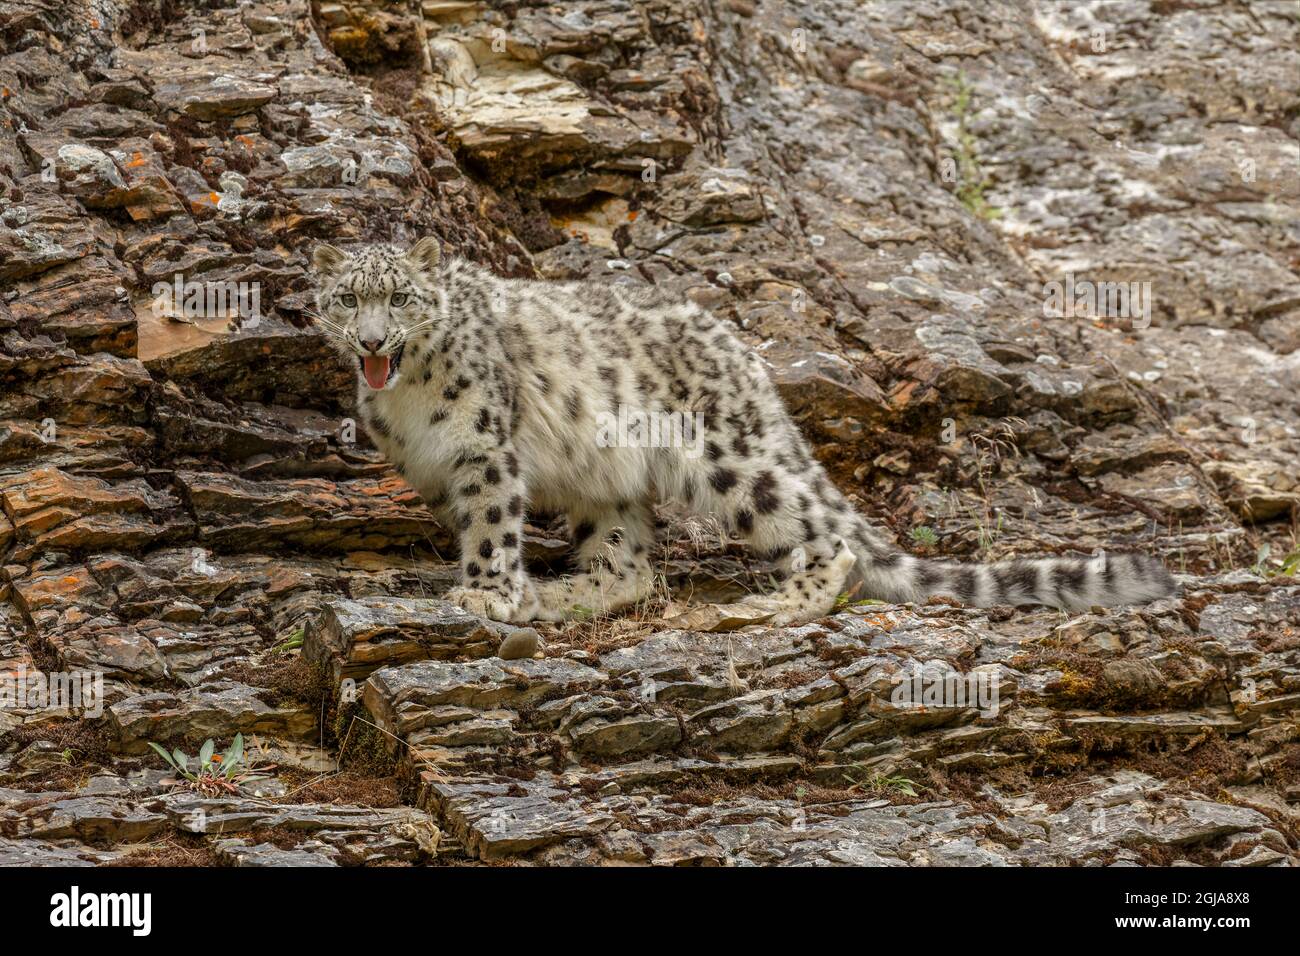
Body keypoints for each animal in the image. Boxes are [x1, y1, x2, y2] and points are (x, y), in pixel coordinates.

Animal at [309, 237, 1176, 627]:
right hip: (606, 480)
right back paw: (567, 595)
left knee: (832, 538)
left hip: (726, 458)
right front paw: (505, 593)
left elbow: (492, 524)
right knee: (631, 562)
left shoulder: (486, 448)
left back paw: (776, 604)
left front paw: (488, 593)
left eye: (401, 296)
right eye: (348, 298)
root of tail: (742, 356)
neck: (409, 397)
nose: (372, 341)